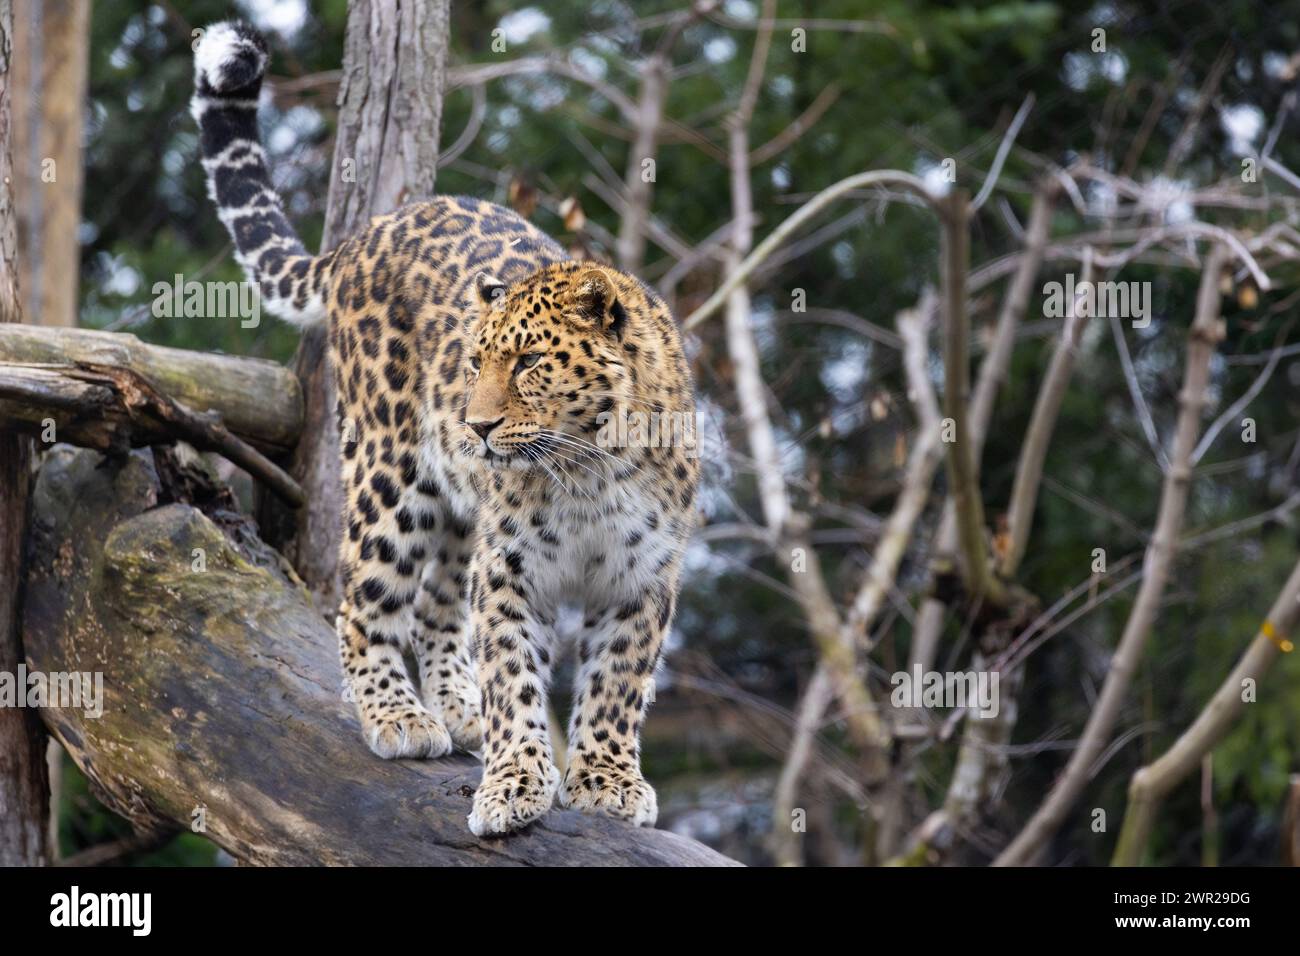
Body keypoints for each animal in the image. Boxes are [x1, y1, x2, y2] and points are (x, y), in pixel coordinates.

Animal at [192, 21, 700, 836]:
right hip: (390, 480)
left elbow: (618, 684)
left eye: (529, 362)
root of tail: (370, 232)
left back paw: (458, 708)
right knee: (365, 603)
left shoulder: (641, 577)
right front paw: (516, 783)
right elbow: (515, 676)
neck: (590, 465)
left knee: (436, 610)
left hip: (461, 512)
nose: (477, 425)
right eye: (475, 360)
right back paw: (398, 717)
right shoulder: (513, 567)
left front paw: (607, 780)